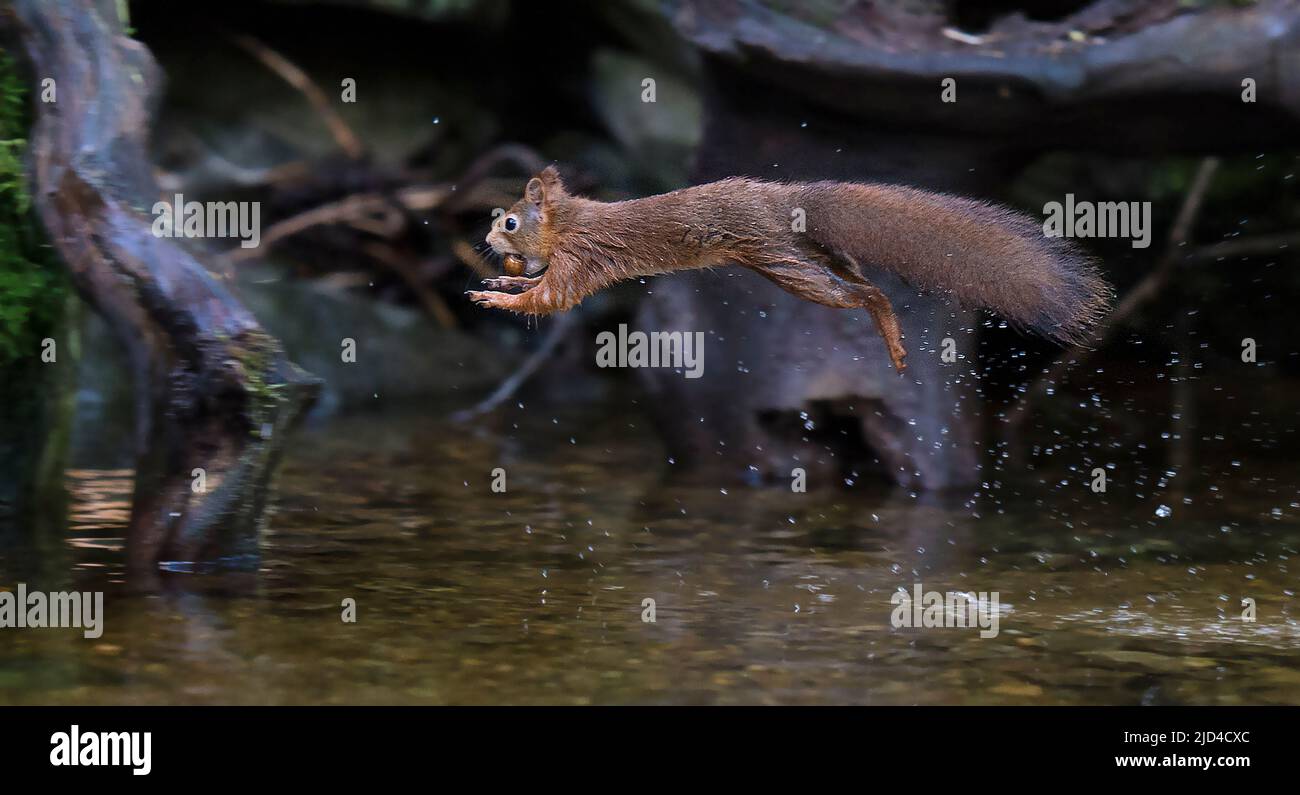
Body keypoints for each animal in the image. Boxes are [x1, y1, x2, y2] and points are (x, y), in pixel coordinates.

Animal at [468, 166, 1111, 371]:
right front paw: (502, 281)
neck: (569, 221)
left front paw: (497, 298)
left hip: (781, 262)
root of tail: (787, 200)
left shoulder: (582, 258)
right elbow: (539, 288)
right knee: (861, 278)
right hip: (807, 252)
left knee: (864, 296)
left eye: (509, 222)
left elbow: (551, 298)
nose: (485, 241)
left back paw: (888, 330)